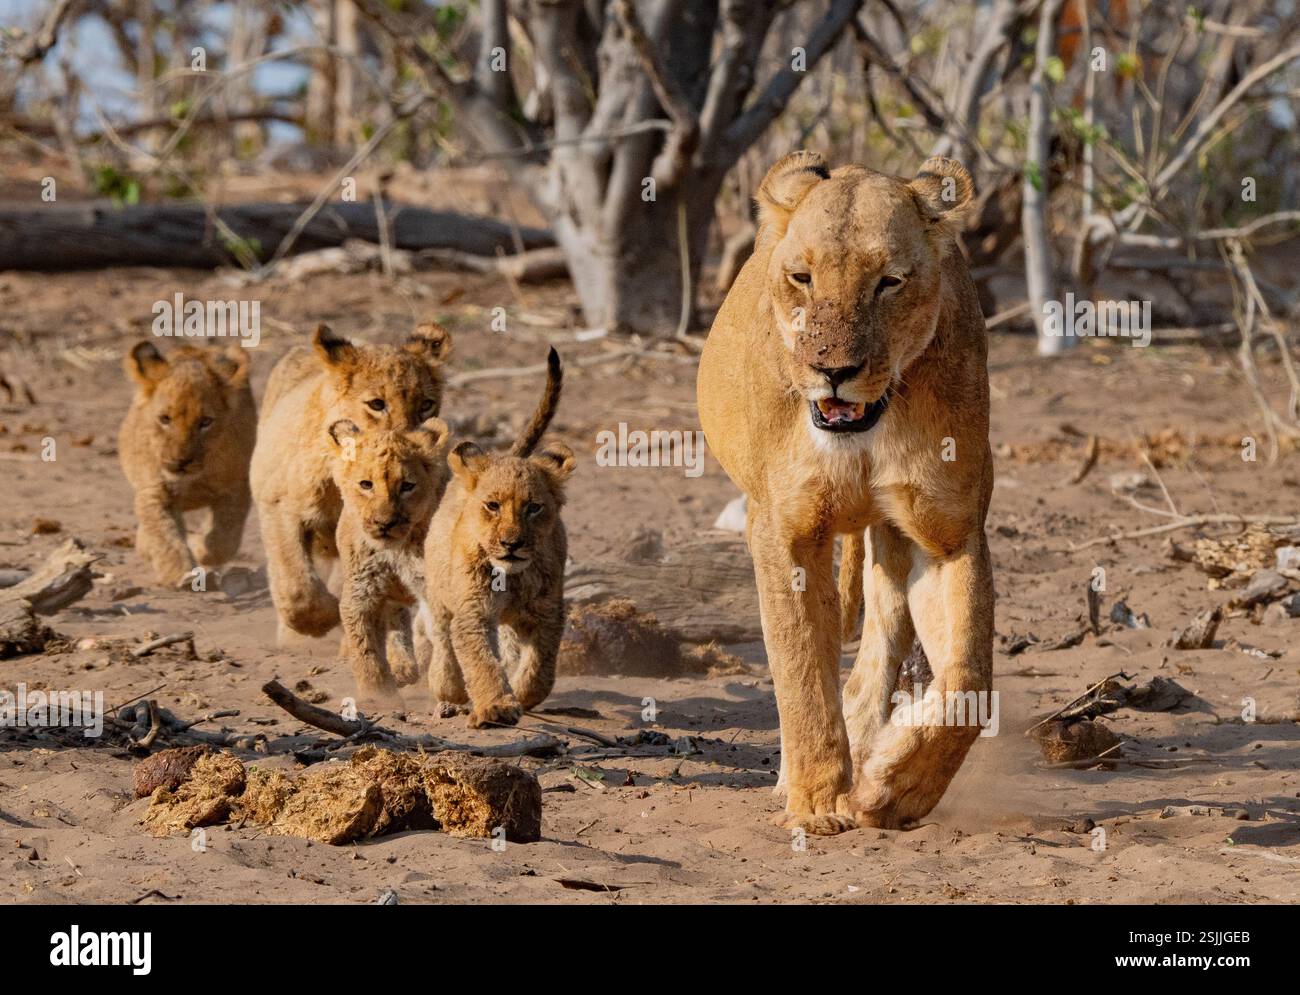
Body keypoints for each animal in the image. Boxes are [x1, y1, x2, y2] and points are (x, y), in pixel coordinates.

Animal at [119, 341, 257, 587]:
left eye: (205, 422)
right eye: (165, 419)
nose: (180, 462)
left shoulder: (236, 487)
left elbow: (223, 540)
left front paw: (200, 548)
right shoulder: (154, 491)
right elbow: (165, 537)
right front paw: (182, 574)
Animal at [250, 322, 450, 643]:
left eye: (427, 405)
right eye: (377, 404)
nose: (412, 445)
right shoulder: (276, 503)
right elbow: (297, 590)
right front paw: (320, 620)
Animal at [328, 414, 451, 704]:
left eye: (407, 486)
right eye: (366, 484)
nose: (384, 524)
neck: (396, 551)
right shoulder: (360, 592)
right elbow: (366, 650)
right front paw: (379, 696)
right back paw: (402, 666)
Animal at [422, 348, 572, 728]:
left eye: (533, 508)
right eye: (492, 505)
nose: (511, 543)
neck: (513, 578)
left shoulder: (548, 613)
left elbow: (539, 669)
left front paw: (520, 693)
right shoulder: (473, 612)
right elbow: (481, 662)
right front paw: (496, 708)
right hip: (440, 594)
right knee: (443, 641)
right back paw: (448, 687)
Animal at [697, 152, 993, 834]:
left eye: (889, 282)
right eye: (802, 278)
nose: (833, 371)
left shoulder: (949, 534)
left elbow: (969, 678)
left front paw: (894, 788)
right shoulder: (784, 531)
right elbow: (802, 666)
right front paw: (816, 802)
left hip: (892, 535)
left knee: (879, 644)